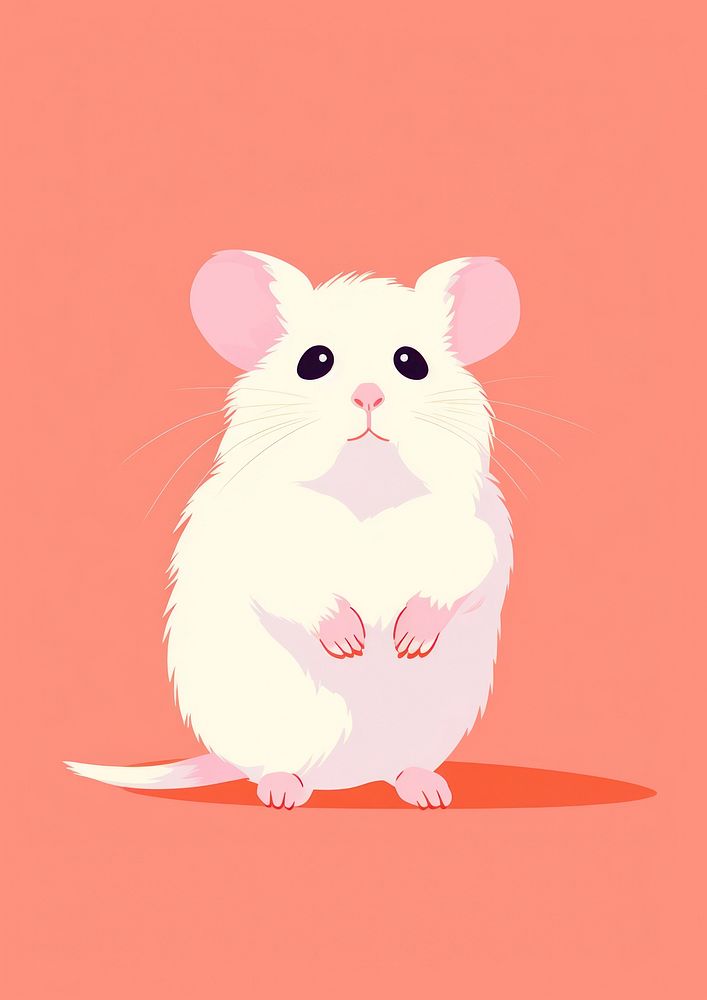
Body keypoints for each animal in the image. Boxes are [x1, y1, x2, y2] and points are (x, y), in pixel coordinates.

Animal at [66, 250, 520, 809]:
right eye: (315, 362)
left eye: (411, 362)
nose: (368, 397)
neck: (363, 488)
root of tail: (346, 778)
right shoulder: (258, 538)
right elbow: (290, 584)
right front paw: (350, 642)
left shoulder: (474, 532)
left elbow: (460, 573)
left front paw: (407, 640)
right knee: (276, 769)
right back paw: (283, 792)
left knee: (402, 766)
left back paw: (428, 790)